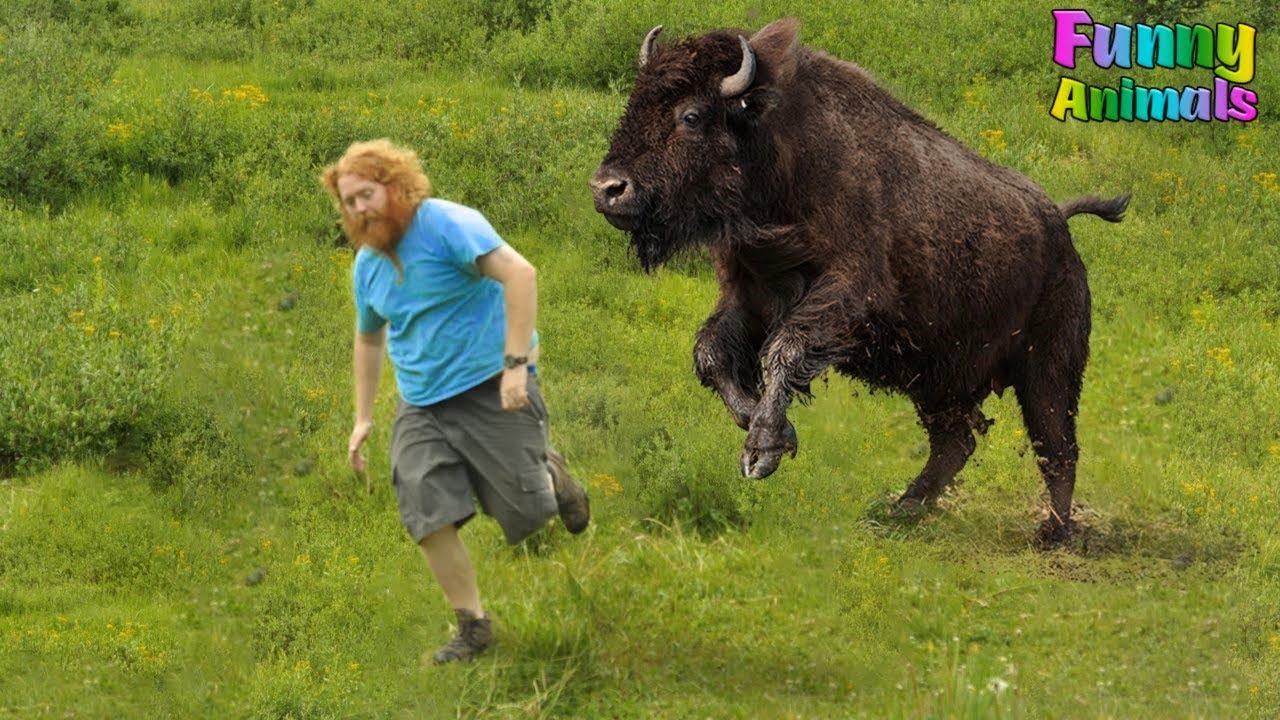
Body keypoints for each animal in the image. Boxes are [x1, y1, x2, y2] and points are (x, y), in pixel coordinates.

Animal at [591, 18, 1129, 545]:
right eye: (635, 100)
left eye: (692, 115)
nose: (607, 189)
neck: (784, 151)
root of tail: (1057, 224)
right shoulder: (747, 297)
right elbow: (712, 354)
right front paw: (772, 431)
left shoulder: (848, 296)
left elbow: (784, 349)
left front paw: (761, 452)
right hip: (938, 379)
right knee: (957, 442)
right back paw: (902, 510)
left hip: (1047, 368)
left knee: (1055, 443)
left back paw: (1052, 532)